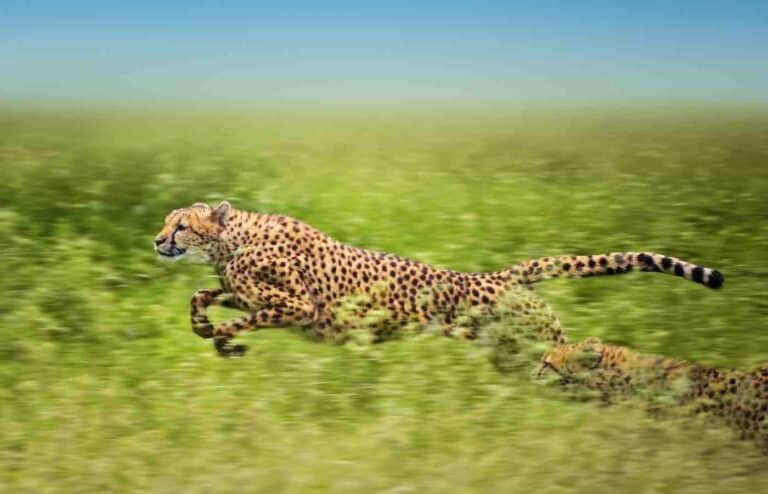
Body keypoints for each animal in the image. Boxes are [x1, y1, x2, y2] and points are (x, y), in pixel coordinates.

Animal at [153, 201, 724, 356]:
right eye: (166, 222)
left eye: (180, 224)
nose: (158, 241)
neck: (232, 238)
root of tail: (497, 276)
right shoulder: (244, 291)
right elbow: (201, 295)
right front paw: (204, 326)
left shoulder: (297, 307)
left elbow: (240, 318)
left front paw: (223, 340)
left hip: (538, 343)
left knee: (581, 354)